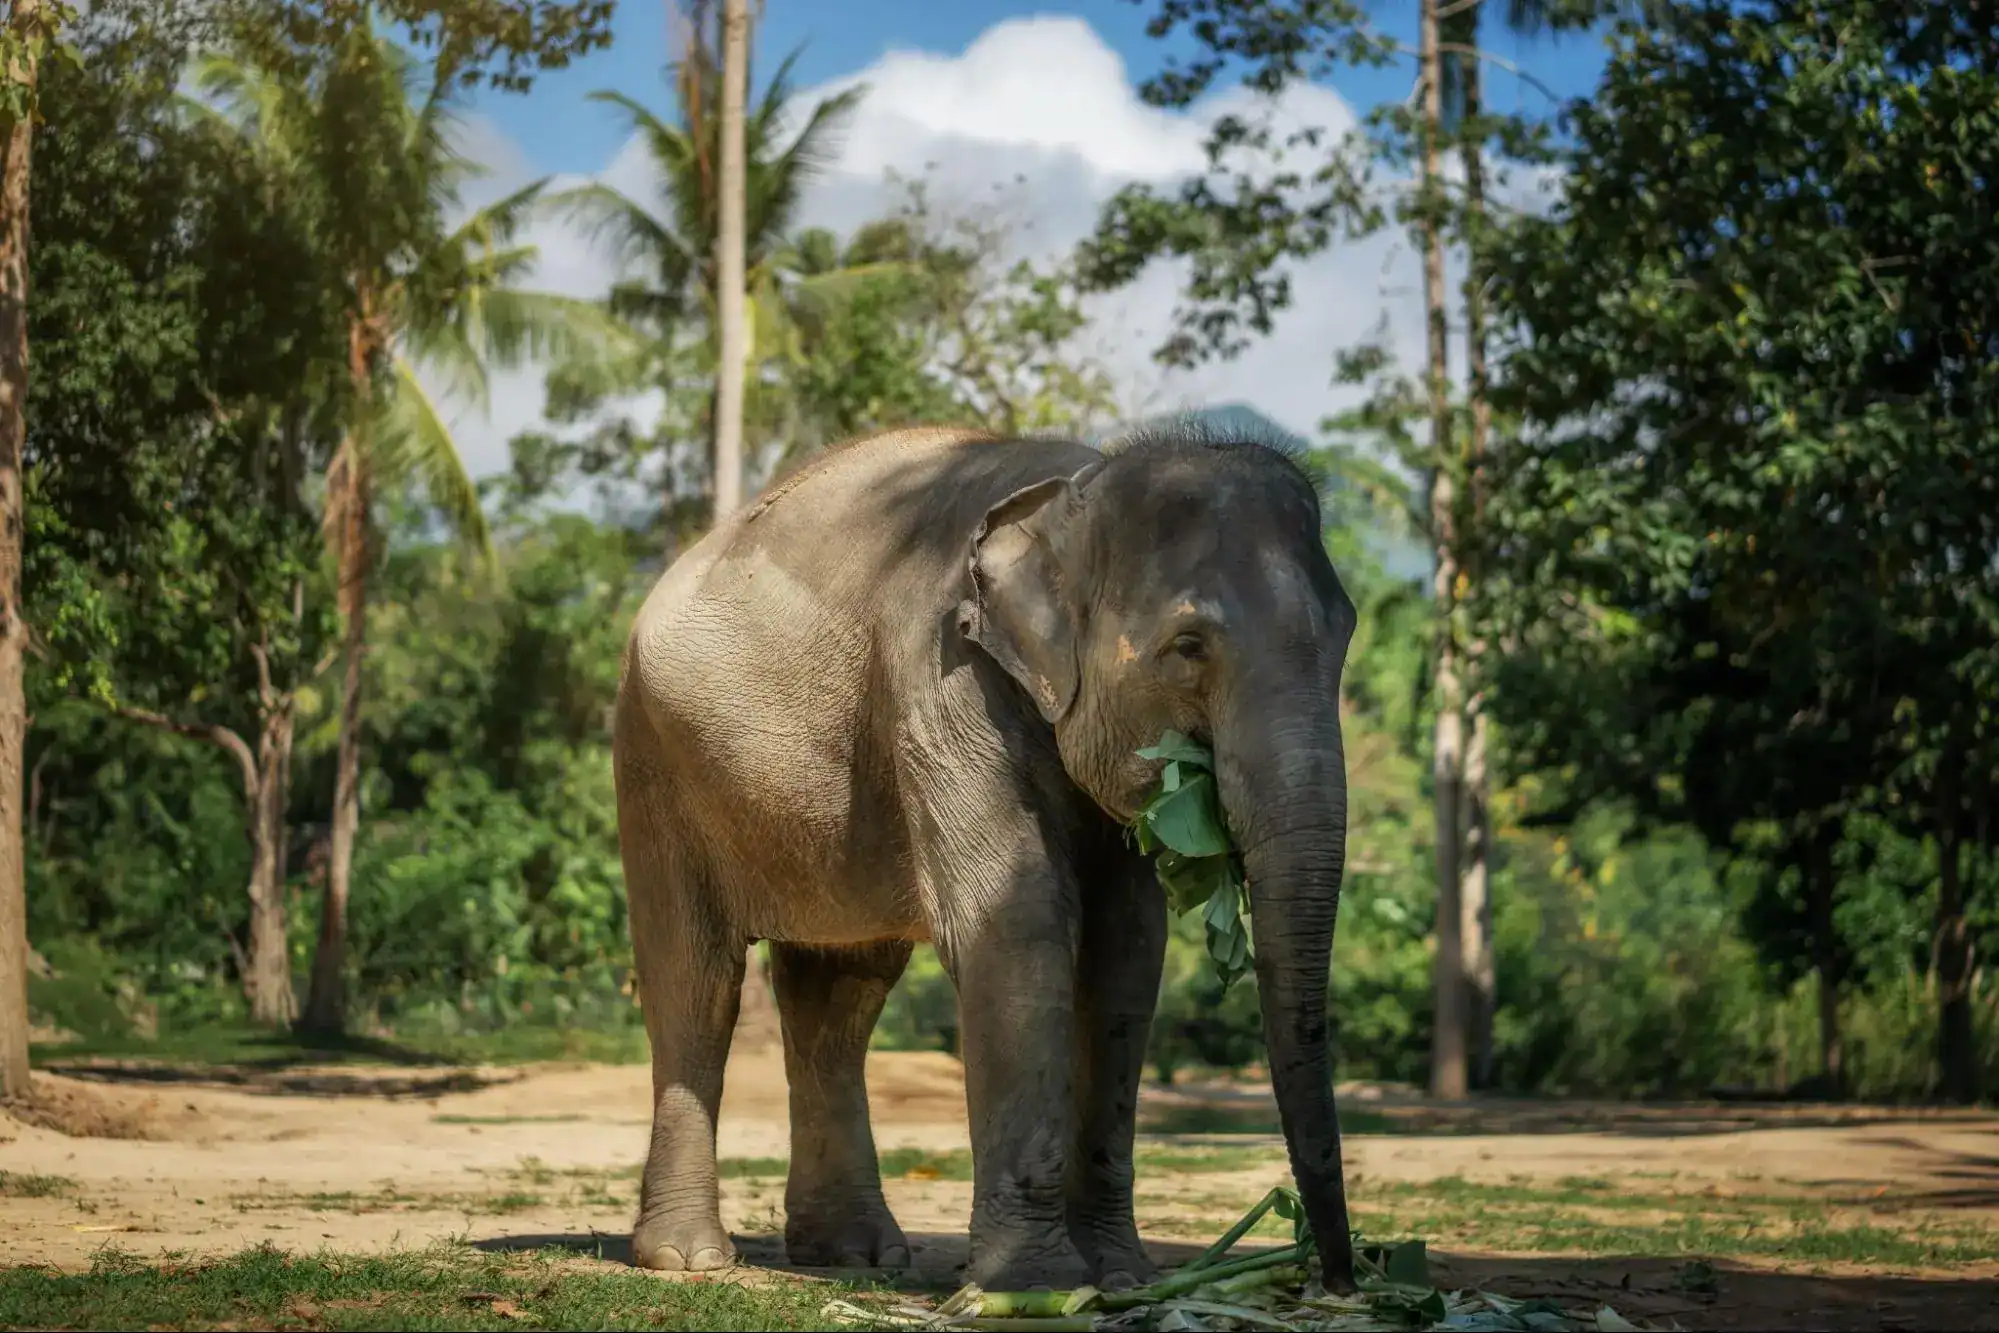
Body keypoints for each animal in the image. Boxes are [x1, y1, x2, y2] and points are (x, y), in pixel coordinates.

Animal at [613, 422, 1358, 1291]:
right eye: (1187, 645)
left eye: (1345, 636)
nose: (1338, 1278)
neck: (1078, 490)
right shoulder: (940, 674)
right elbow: (1018, 919)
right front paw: (1036, 1285)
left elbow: (1126, 947)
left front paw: (1121, 1276)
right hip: (652, 756)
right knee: (694, 980)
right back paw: (687, 1258)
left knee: (839, 998)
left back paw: (857, 1255)